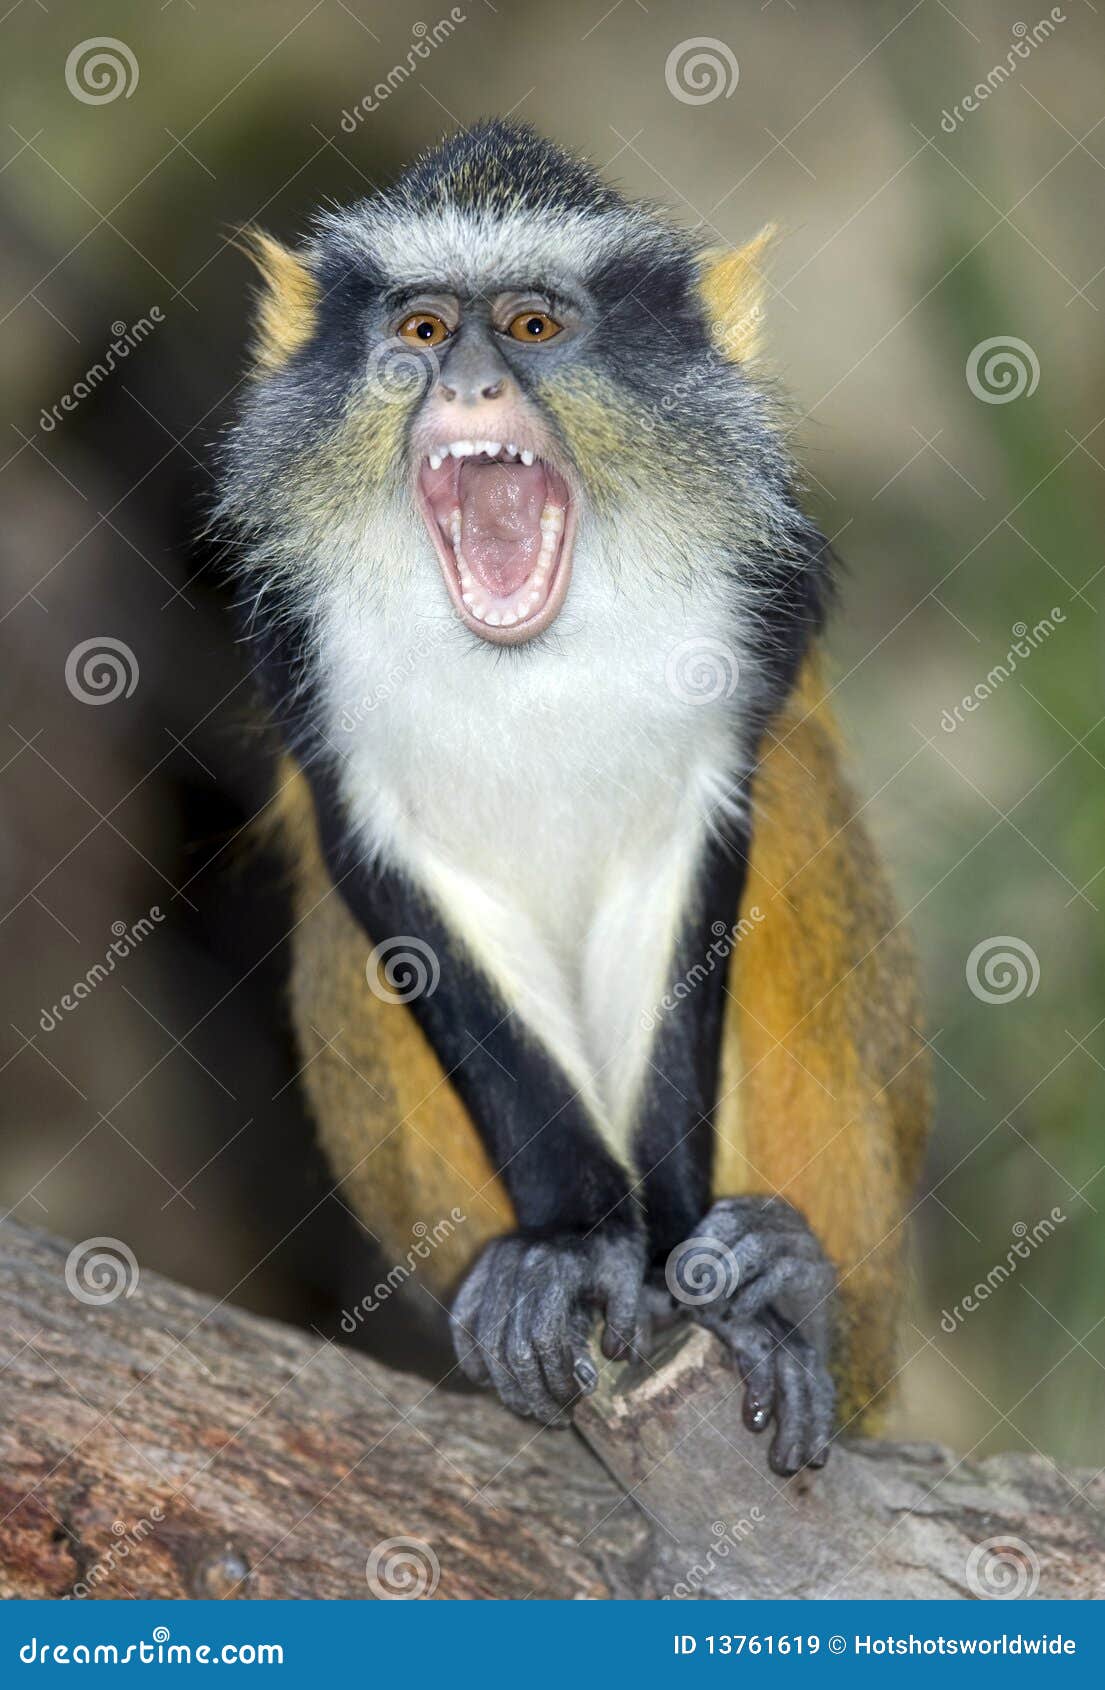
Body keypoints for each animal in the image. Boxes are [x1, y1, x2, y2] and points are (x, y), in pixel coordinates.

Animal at [215, 120, 929, 1476]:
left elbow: (704, 840)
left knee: (804, 811)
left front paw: (681, 1264)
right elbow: (380, 874)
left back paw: (806, 1291)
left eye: (535, 327)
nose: (465, 387)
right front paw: (567, 1248)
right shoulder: (299, 652)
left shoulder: (750, 609)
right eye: (423, 328)